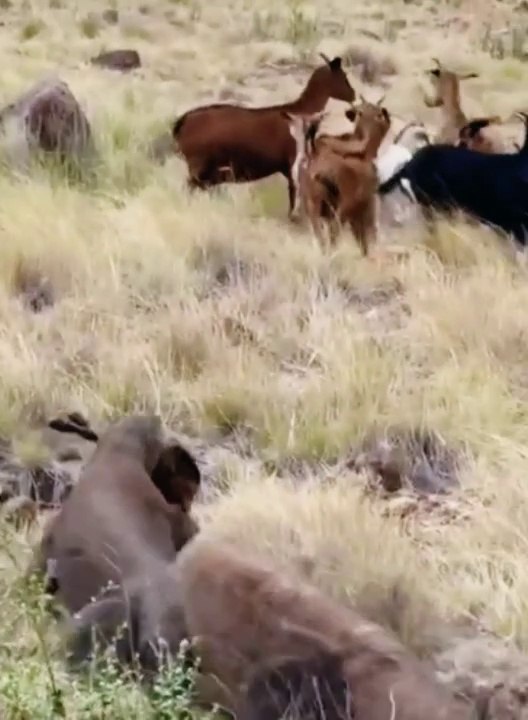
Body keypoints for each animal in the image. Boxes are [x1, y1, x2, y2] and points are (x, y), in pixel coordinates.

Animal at [171, 54, 356, 217]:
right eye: (343, 76)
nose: (353, 94)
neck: (299, 111)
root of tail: (183, 121)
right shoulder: (293, 165)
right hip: (198, 167)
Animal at [285, 98, 391, 254]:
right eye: (380, 114)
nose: (388, 119)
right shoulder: (364, 207)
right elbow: (366, 239)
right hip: (342, 209)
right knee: (335, 232)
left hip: (313, 205)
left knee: (319, 235)